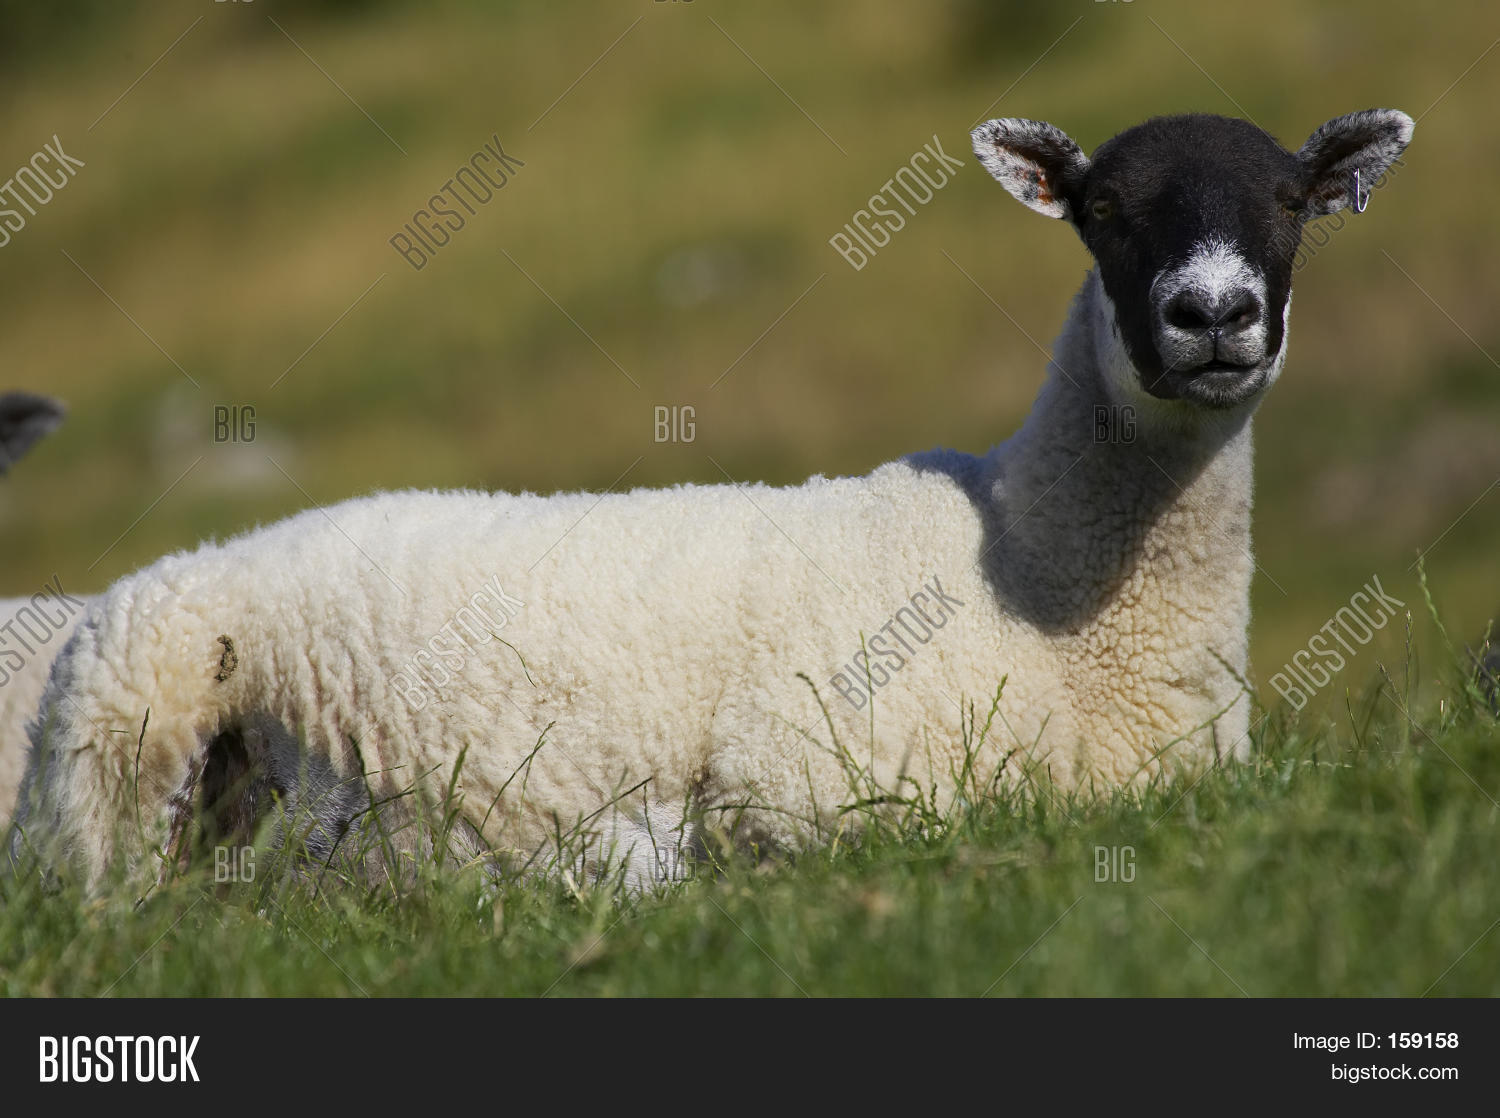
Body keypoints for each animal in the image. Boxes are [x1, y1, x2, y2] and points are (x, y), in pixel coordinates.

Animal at [10, 108, 1413, 893]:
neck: (1042, 578)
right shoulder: (815, 787)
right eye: (1105, 206)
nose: (1213, 313)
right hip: (124, 760)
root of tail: (140, 584)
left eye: (1291, 201)